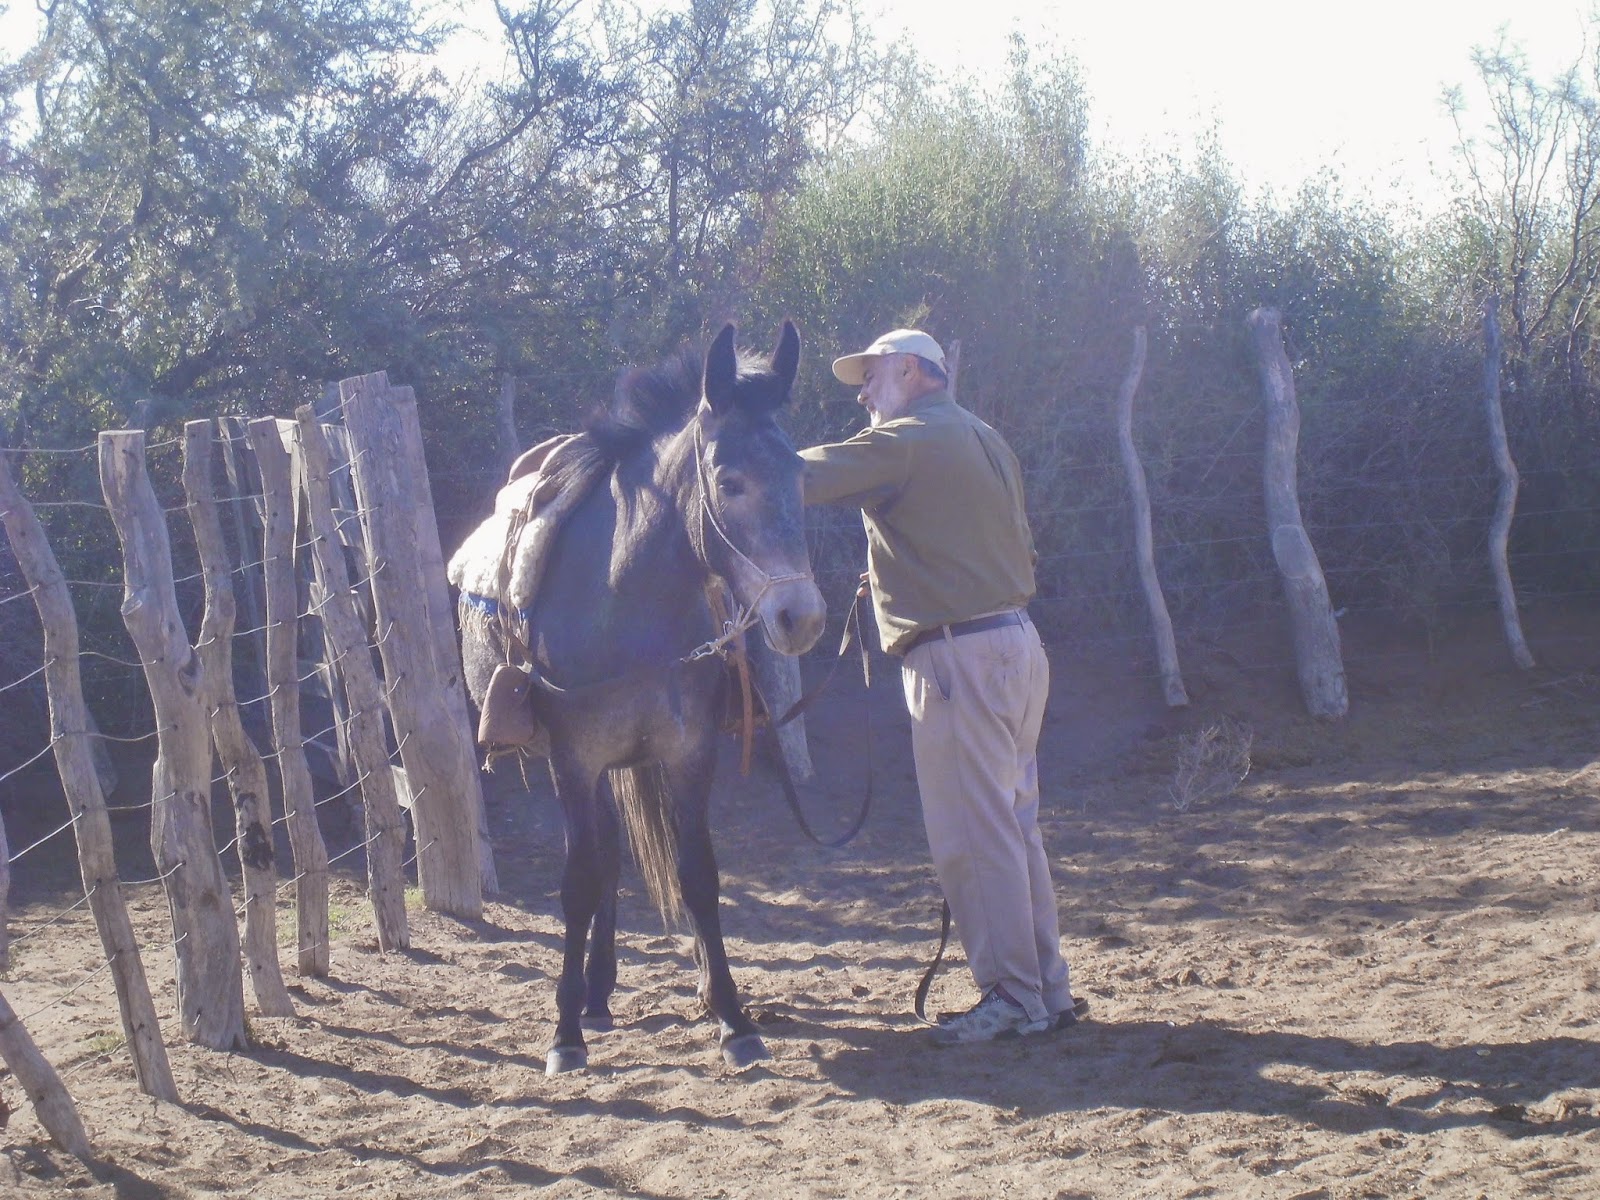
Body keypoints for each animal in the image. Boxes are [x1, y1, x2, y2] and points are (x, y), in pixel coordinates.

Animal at [453, 321, 827, 1072]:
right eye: (730, 481)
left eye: (801, 475)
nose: (800, 618)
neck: (624, 601)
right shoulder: (573, 761)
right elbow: (577, 883)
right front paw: (563, 1033)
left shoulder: (688, 754)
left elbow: (698, 875)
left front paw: (734, 1019)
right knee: (600, 861)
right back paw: (591, 1000)